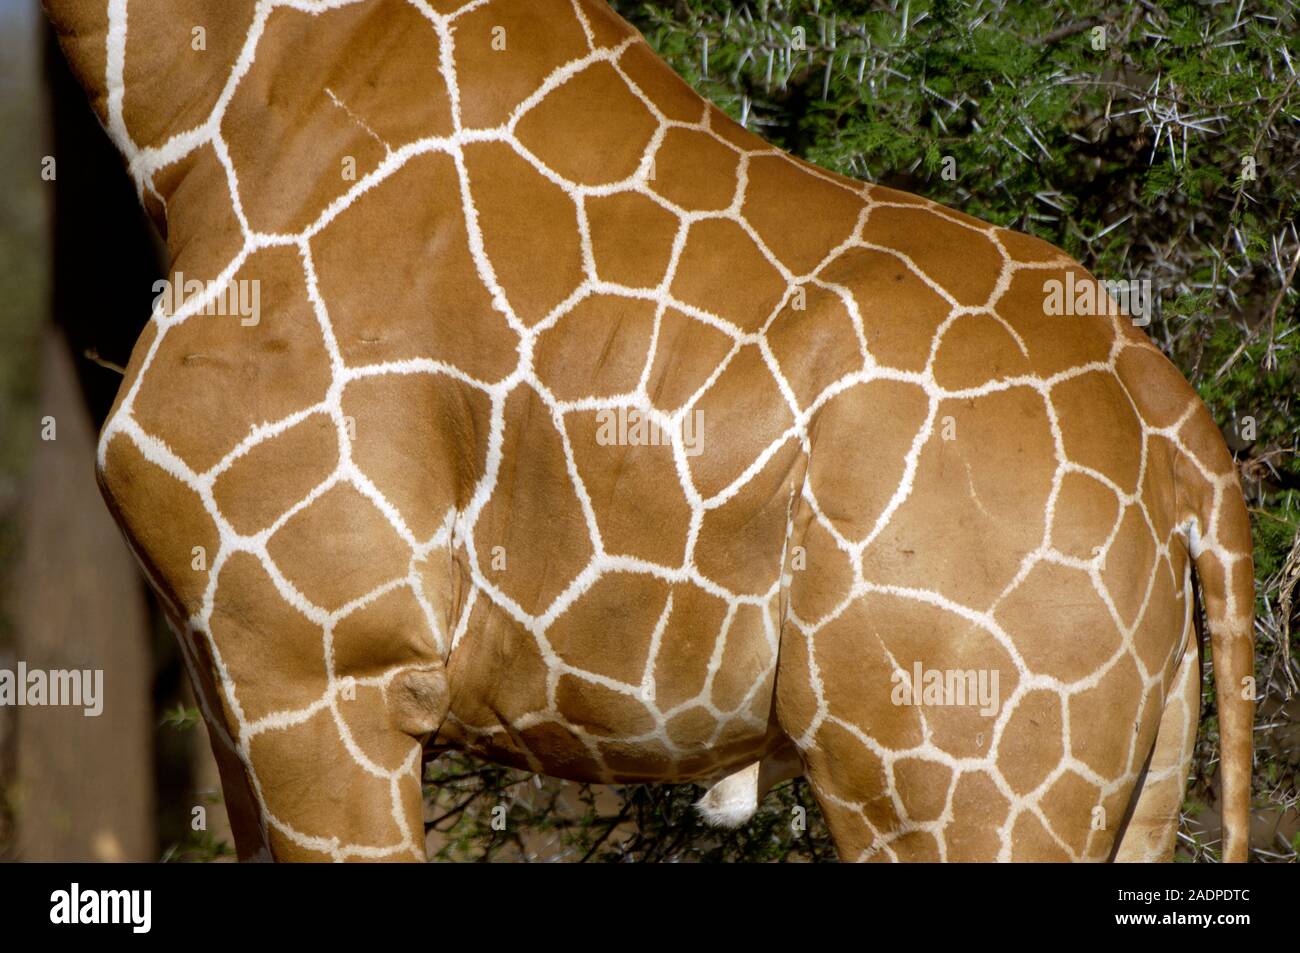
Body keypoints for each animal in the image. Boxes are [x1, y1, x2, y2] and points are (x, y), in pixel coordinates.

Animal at [43, 0, 1256, 862]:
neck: (216, 100)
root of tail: (1182, 438)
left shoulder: (322, 664)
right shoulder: (230, 678)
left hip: (959, 786)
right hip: (1136, 779)